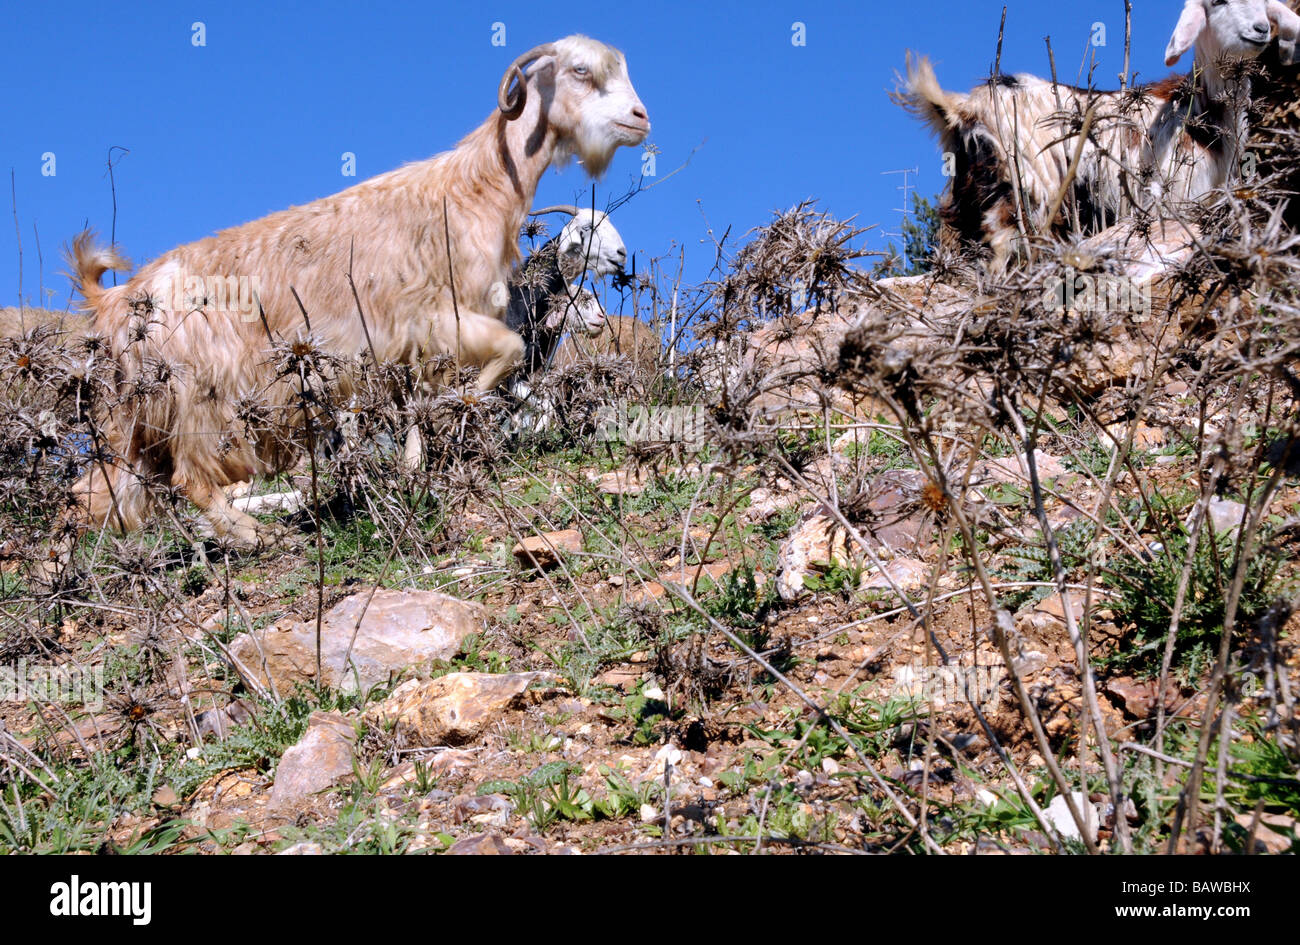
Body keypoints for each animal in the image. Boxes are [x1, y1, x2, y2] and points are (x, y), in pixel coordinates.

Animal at [66, 35, 650, 548]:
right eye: (580, 70)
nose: (640, 117)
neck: (471, 188)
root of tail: (114, 301)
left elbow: (428, 404)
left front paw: (424, 458)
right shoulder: (434, 320)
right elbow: (495, 362)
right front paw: (455, 416)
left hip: (143, 414)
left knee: (107, 493)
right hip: (200, 394)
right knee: (188, 478)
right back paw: (254, 536)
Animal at [897, 0, 1300, 270]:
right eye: (1217, 2)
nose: (1261, 29)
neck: (1200, 110)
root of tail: (964, 107)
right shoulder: (1175, 198)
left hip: (963, 202)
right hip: (1020, 192)